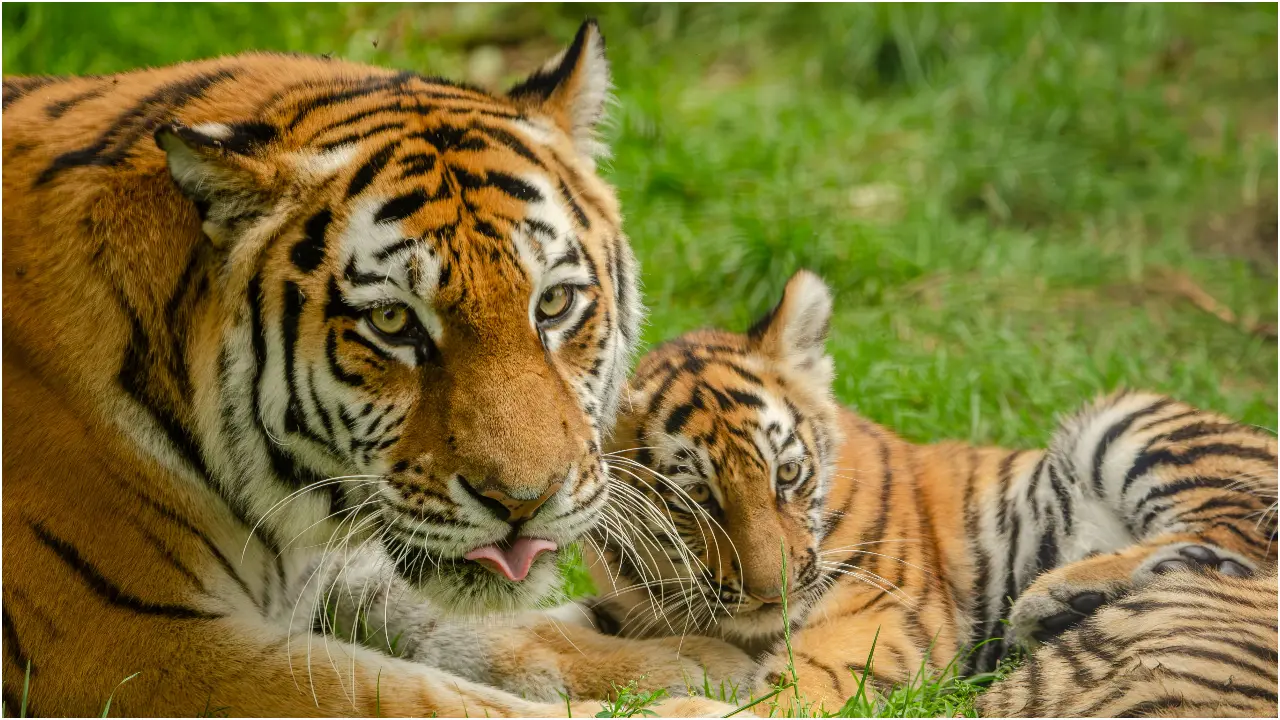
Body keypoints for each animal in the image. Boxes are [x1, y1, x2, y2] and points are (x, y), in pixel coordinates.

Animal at [2, 20, 747, 717]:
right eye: (393, 321)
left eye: (554, 303)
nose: (524, 505)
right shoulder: (137, 646)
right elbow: (410, 692)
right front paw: (699, 703)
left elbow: (440, 617)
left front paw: (697, 661)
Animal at [583, 269, 1278, 715]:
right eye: (698, 499)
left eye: (787, 475)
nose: (771, 592)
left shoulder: (881, 613)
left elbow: (799, 684)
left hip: (1130, 422)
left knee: (1242, 533)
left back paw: (1055, 595)